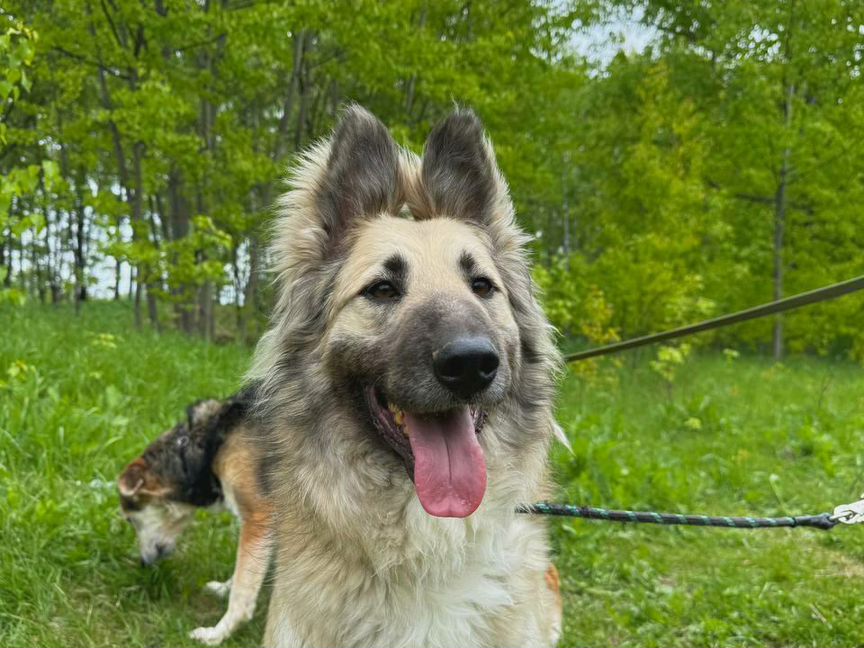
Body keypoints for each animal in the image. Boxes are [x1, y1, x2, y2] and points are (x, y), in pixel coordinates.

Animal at [115, 388, 270, 644]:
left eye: (130, 519)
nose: (143, 564)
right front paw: (225, 588)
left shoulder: (258, 517)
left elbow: (242, 592)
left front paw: (217, 635)